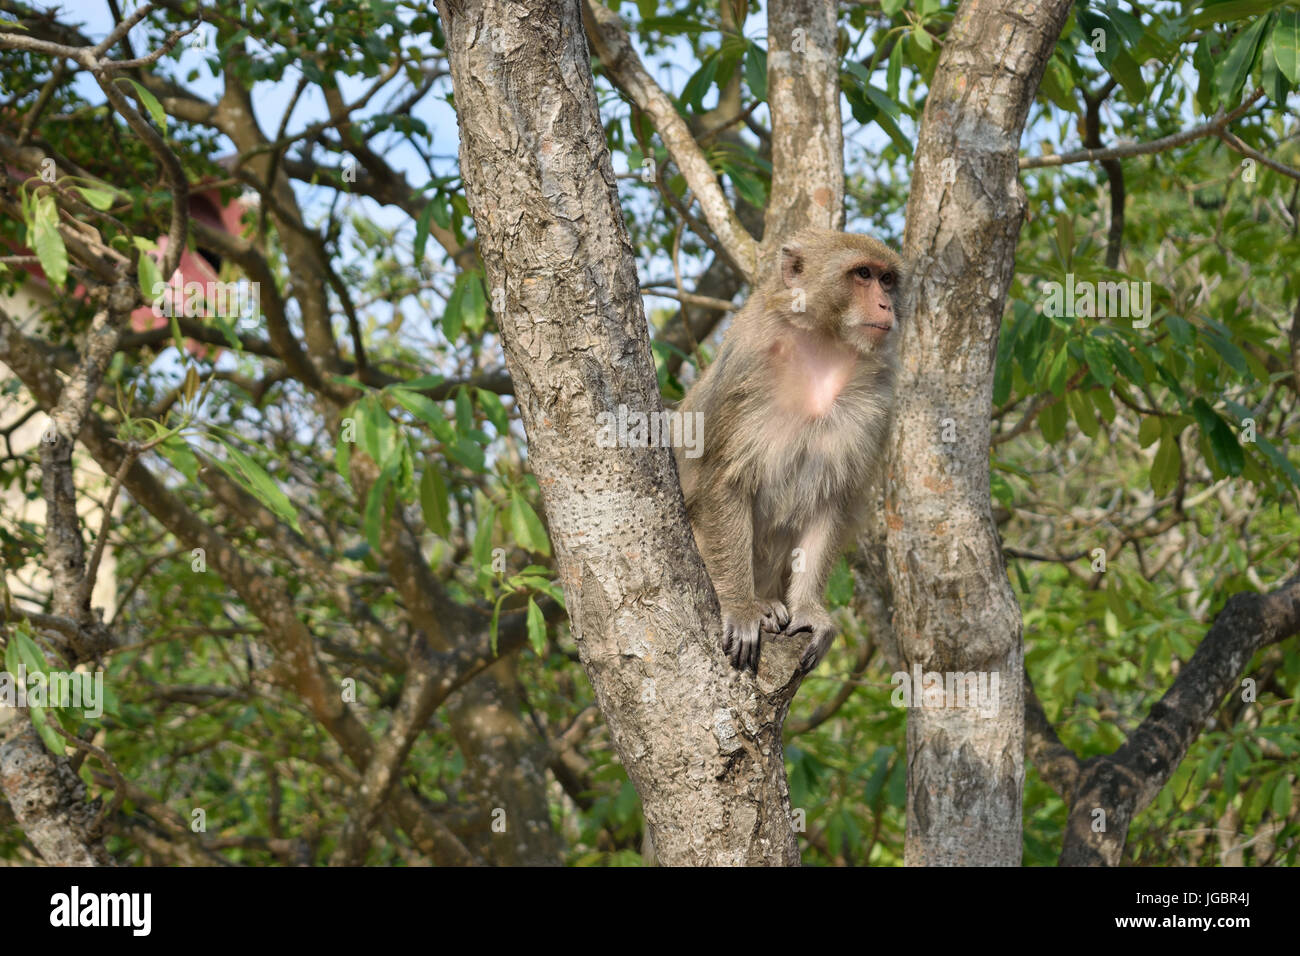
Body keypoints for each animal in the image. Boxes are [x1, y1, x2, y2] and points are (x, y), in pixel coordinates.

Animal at [674, 228, 904, 674]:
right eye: (863, 274)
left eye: (887, 280)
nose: (886, 305)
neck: (822, 348)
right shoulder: (748, 363)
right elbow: (724, 480)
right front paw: (741, 607)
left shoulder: (877, 400)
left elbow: (832, 499)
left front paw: (810, 611)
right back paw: (759, 602)